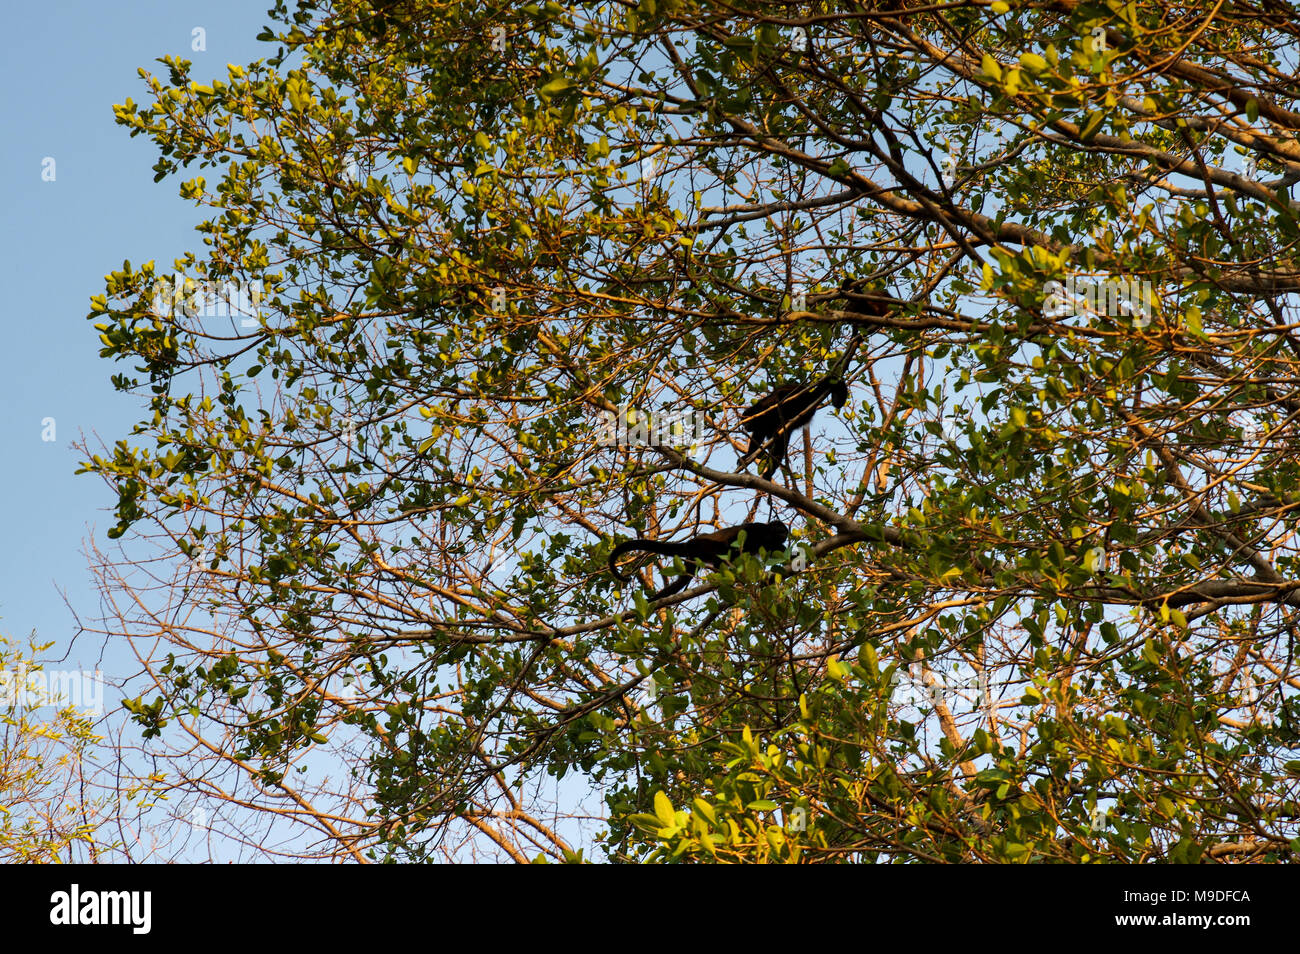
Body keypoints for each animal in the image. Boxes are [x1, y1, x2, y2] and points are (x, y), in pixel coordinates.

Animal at [608, 520, 789, 599]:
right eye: (780, 529)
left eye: (785, 532)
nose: (785, 534)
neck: (768, 534)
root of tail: (691, 542)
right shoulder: (756, 529)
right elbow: (735, 542)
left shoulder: (771, 543)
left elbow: (779, 552)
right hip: (703, 545)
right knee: (723, 550)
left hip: (692, 557)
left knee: (682, 581)